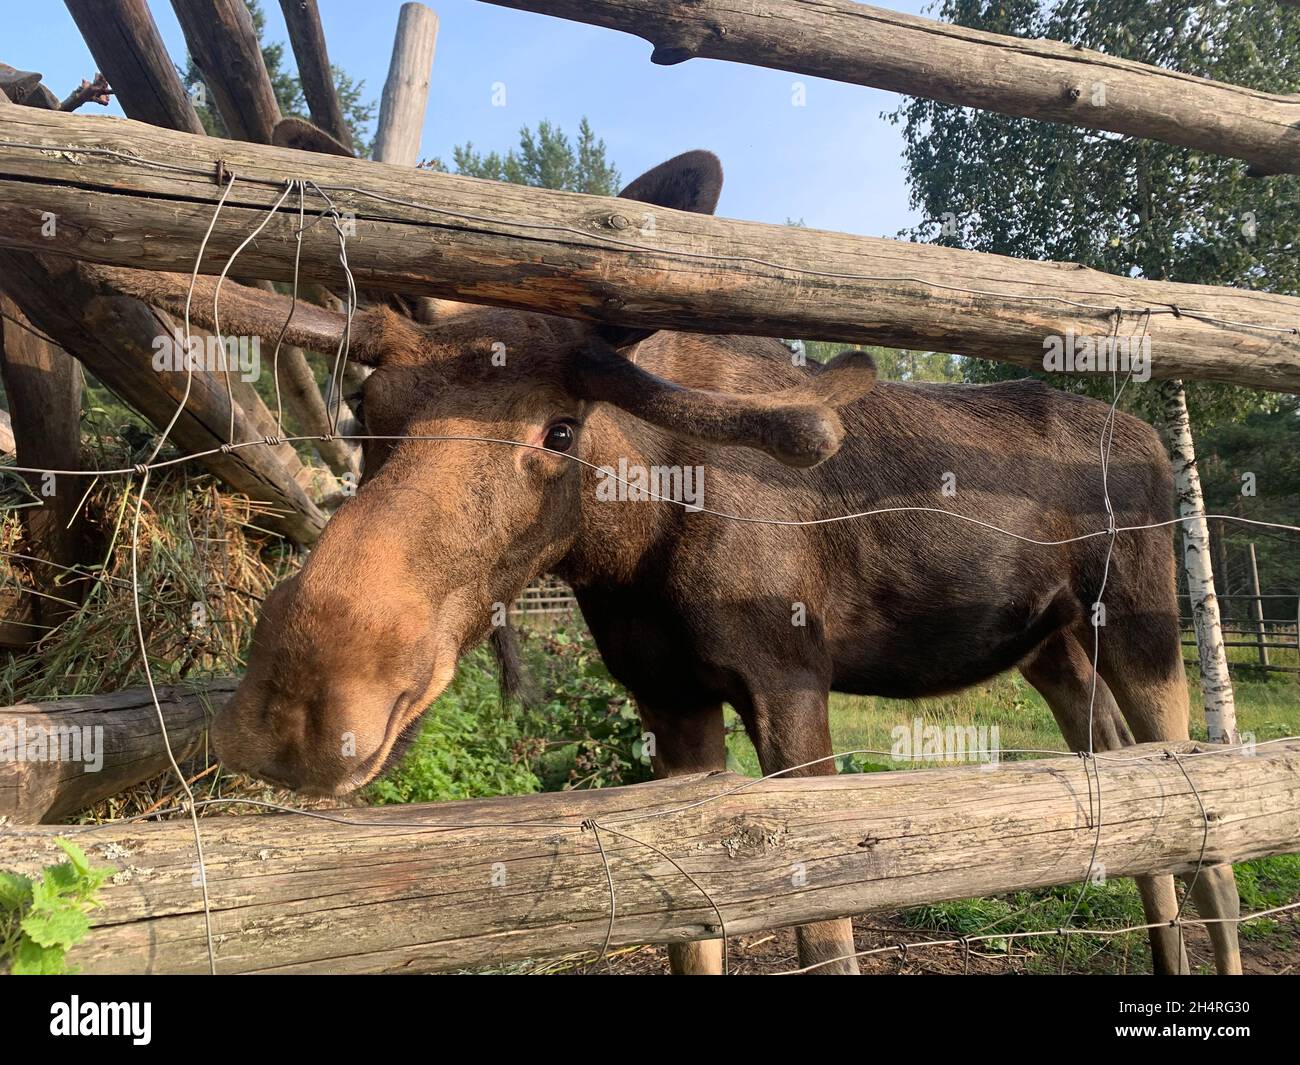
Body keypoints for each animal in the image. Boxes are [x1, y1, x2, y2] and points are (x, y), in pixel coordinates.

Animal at [102, 146, 1241, 976]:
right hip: (1051, 646)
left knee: (1209, 826)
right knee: (1131, 812)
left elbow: (824, 941)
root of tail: (1150, 439)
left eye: (561, 429)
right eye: (362, 408)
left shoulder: (791, 685)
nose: (300, 701)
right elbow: (694, 935)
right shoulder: (670, 705)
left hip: (1147, 627)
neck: (633, 551)